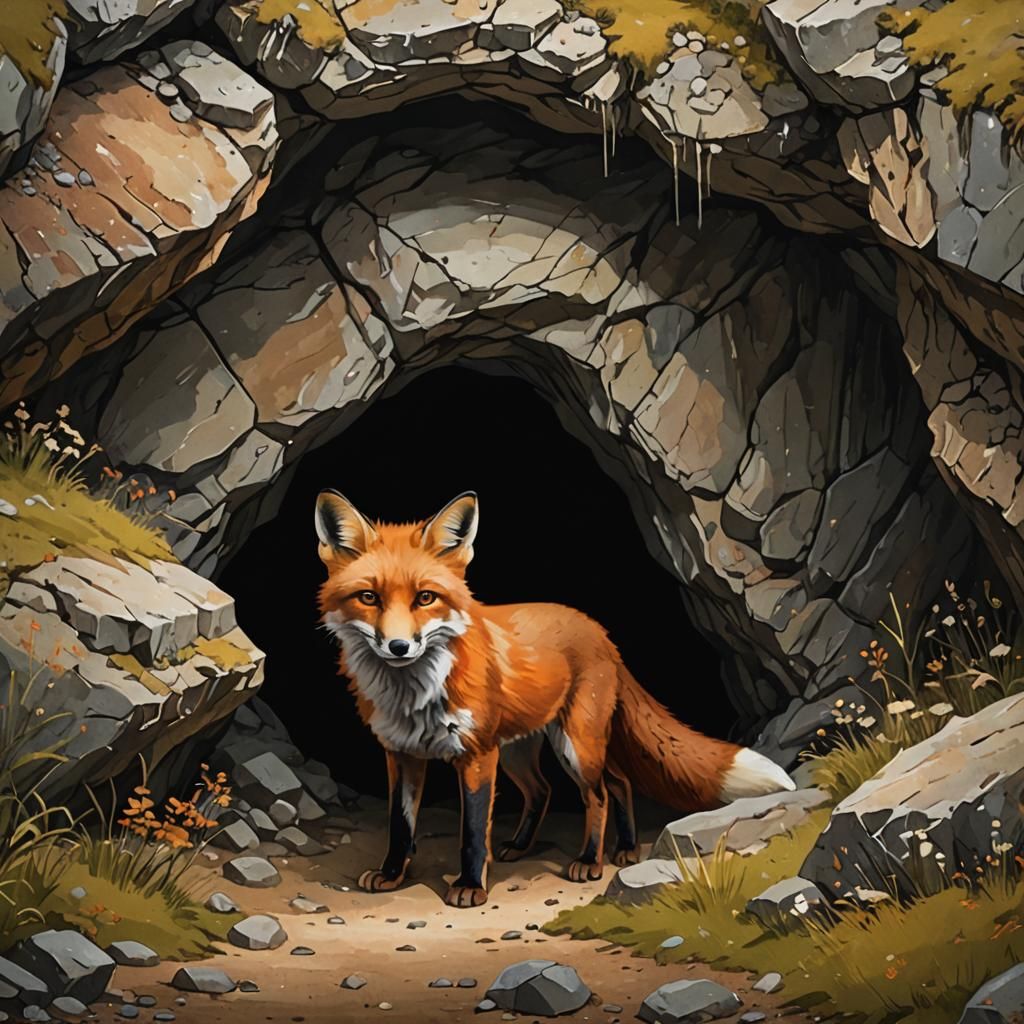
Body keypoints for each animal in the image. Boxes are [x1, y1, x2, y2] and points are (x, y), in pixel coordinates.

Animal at [315, 489, 795, 908]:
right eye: (369, 597)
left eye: (425, 598)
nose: (398, 647)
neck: (414, 697)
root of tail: (600, 631)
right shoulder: (402, 754)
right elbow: (400, 824)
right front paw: (392, 874)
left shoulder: (476, 755)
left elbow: (472, 832)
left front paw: (470, 886)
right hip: (521, 751)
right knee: (564, 787)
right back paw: (561, 846)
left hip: (573, 745)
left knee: (601, 792)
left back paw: (591, 860)